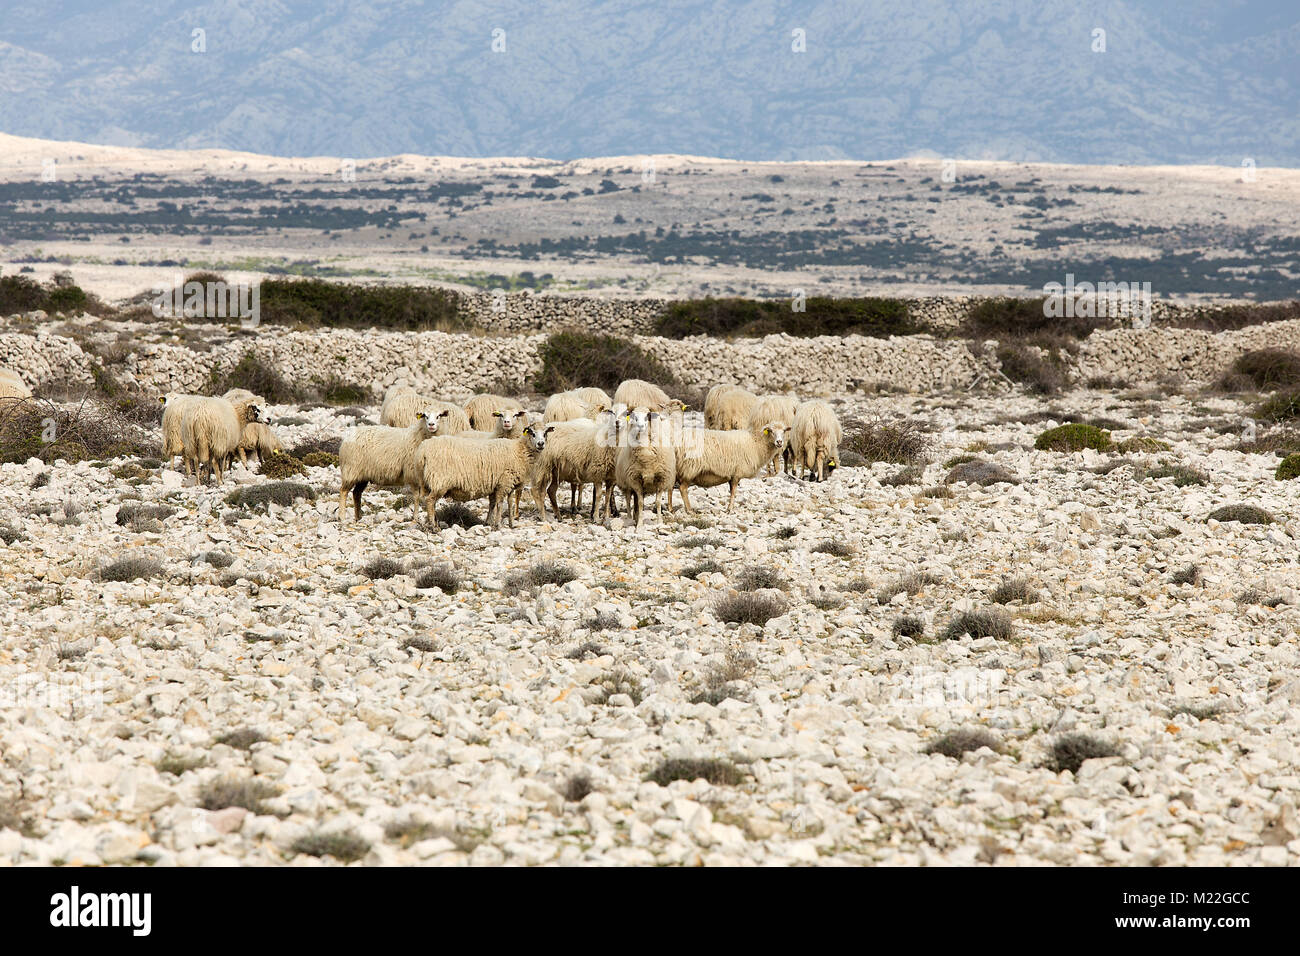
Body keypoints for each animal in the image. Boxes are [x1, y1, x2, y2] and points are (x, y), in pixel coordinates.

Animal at [416, 423, 552, 529]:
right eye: (532, 433)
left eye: (545, 433)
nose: (541, 444)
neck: (519, 451)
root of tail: (422, 450)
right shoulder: (504, 482)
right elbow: (500, 504)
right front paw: (498, 524)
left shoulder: (502, 484)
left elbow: (503, 504)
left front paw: (506, 524)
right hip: (440, 481)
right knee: (430, 501)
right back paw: (433, 527)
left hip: (429, 481)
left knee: (430, 502)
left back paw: (432, 523)